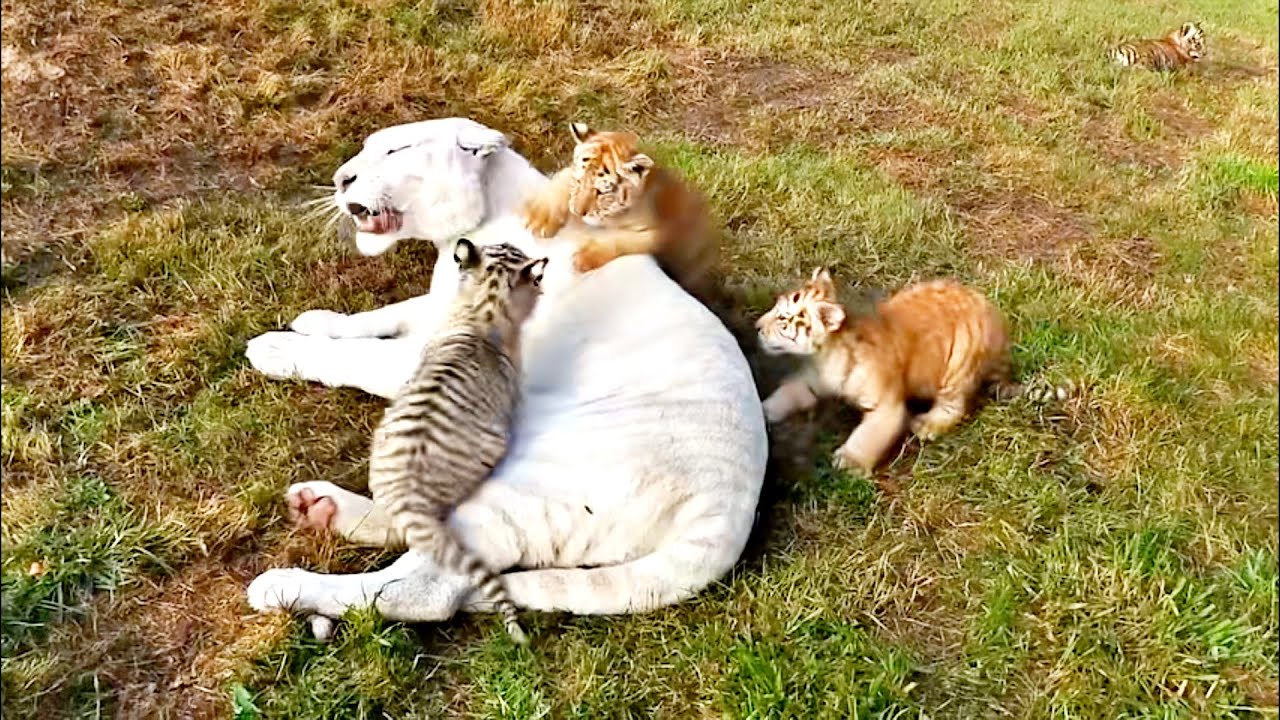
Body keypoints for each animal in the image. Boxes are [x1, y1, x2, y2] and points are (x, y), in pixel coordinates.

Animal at [521, 122, 717, 296]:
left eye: (601, 192)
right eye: (578, 181)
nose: (577, 213)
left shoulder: (660, 232)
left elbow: (620, 240)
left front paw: (585, 257)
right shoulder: (568, 175)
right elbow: (562, 182)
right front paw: (541, 219)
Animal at [756, 269, 1015, 474]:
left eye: (783, 319)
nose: (757, 327)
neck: (825, 356)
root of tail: (999, 329)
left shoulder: (885, 406)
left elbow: (868, 437)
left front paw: (849, 461)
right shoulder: (811, 381)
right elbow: (788, 393)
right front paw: (764, 410)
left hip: (959, 366)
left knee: (955, 406)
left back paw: (927, 425)